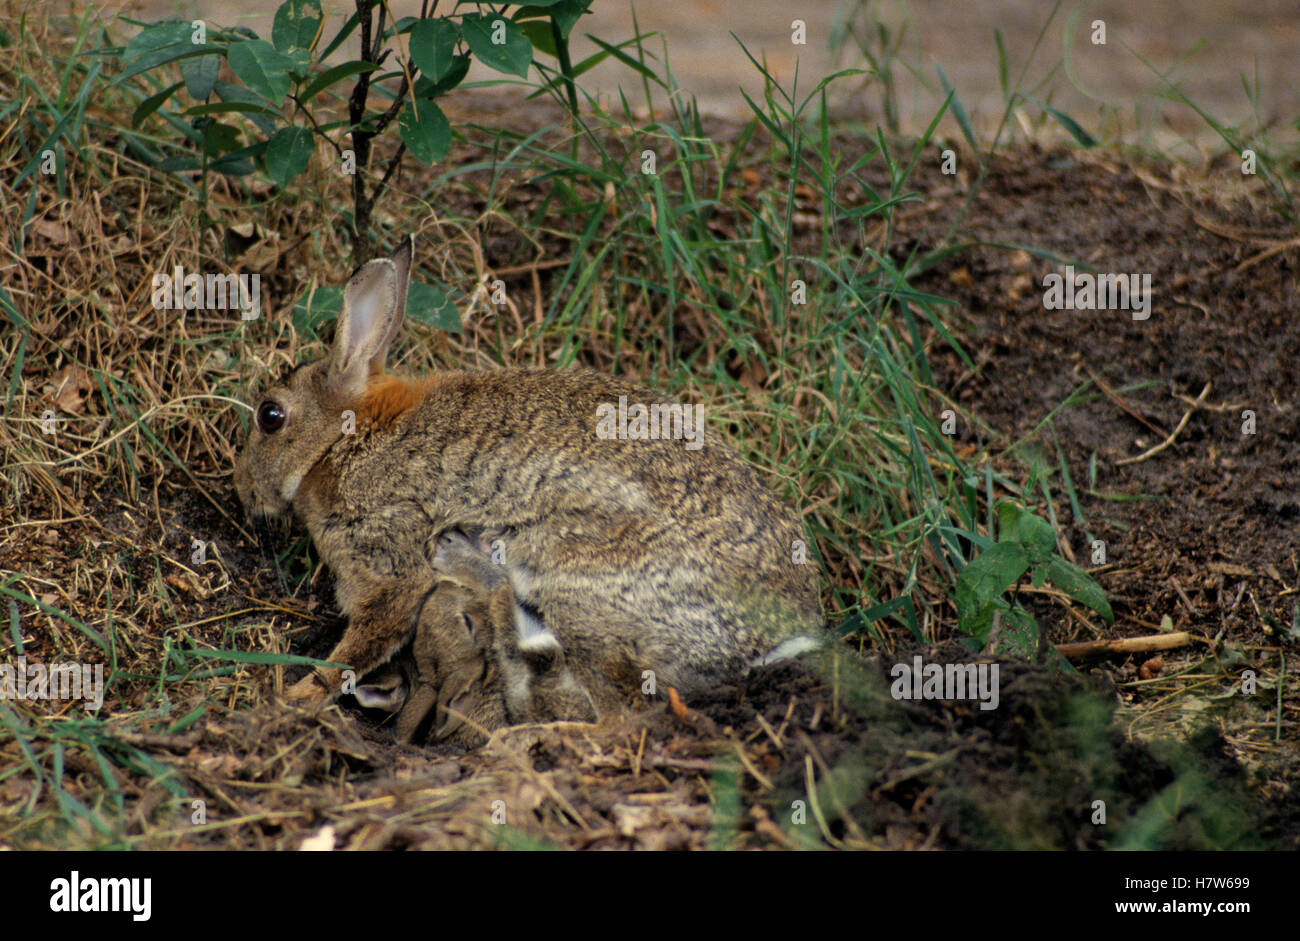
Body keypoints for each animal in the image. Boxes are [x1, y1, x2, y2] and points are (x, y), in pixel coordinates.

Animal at [233, 236, 825, 717]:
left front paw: (298, 693)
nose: (244, 491)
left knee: (614, 703)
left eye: (270, 416)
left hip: (574, 574)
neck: (341, 441)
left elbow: (366, 638)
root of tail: (772, 638)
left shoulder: (388, 553)